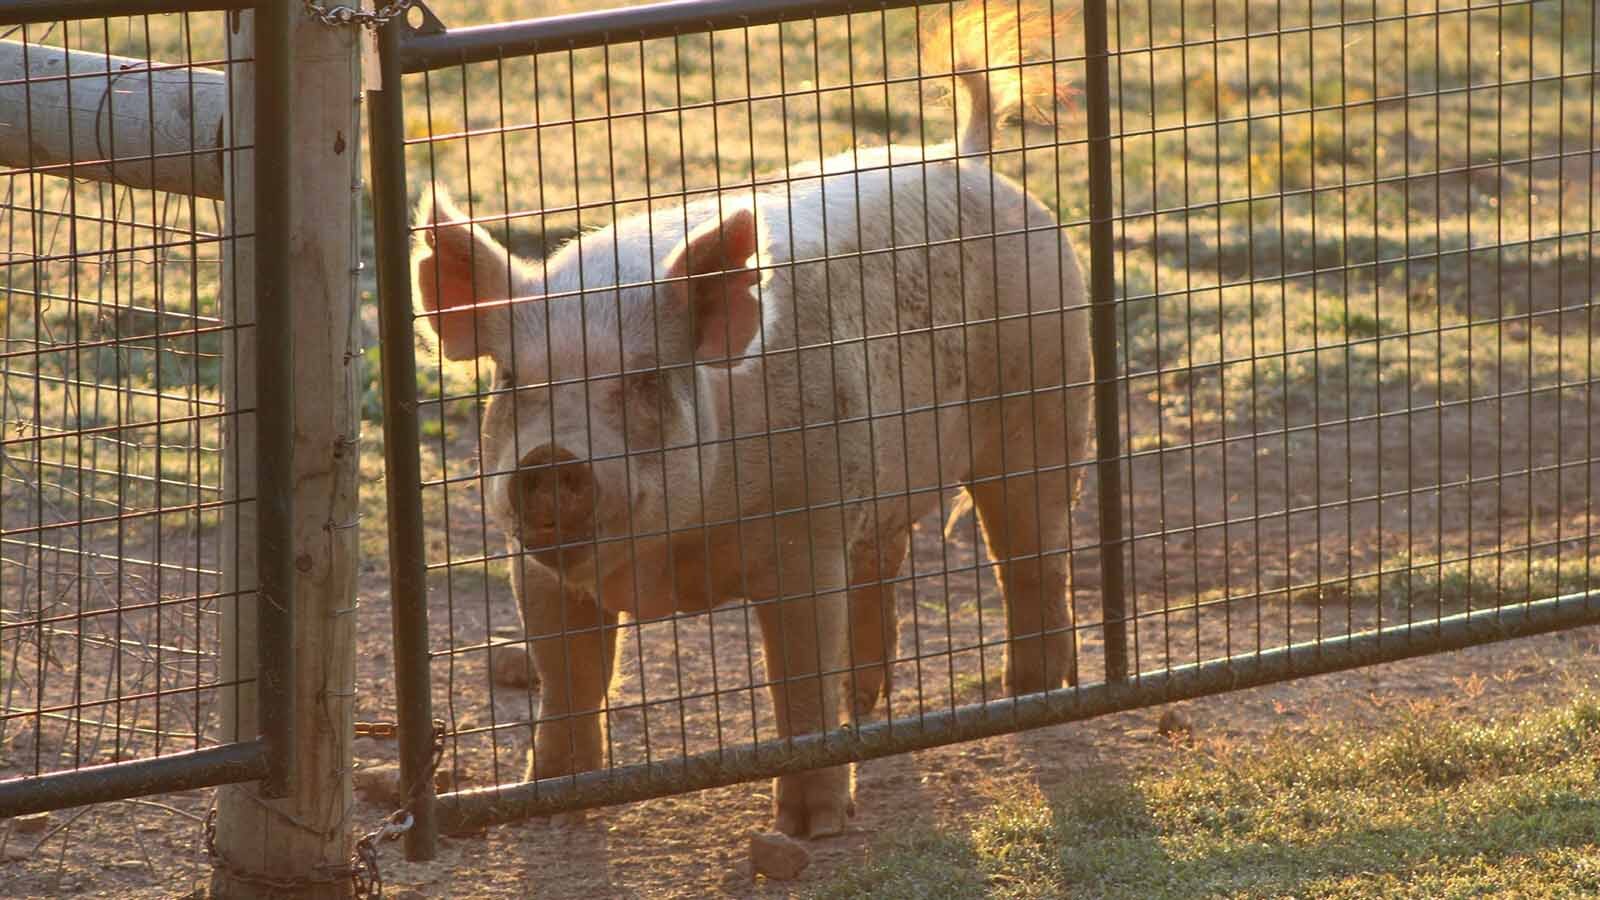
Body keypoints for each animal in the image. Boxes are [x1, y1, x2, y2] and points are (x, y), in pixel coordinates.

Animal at [411, 3, 1091, 840]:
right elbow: (569, 680)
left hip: (1049, 395)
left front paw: (810, 829)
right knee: (886, 562)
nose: (550, 458)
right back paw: (869, 705)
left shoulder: (804, 536)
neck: (672, 558)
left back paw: (1032, 694)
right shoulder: (531, 564)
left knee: (1031, 553)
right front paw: (550, 800)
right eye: (511, 380)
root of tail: (968, 156)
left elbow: (797, 680)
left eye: (646, 379)